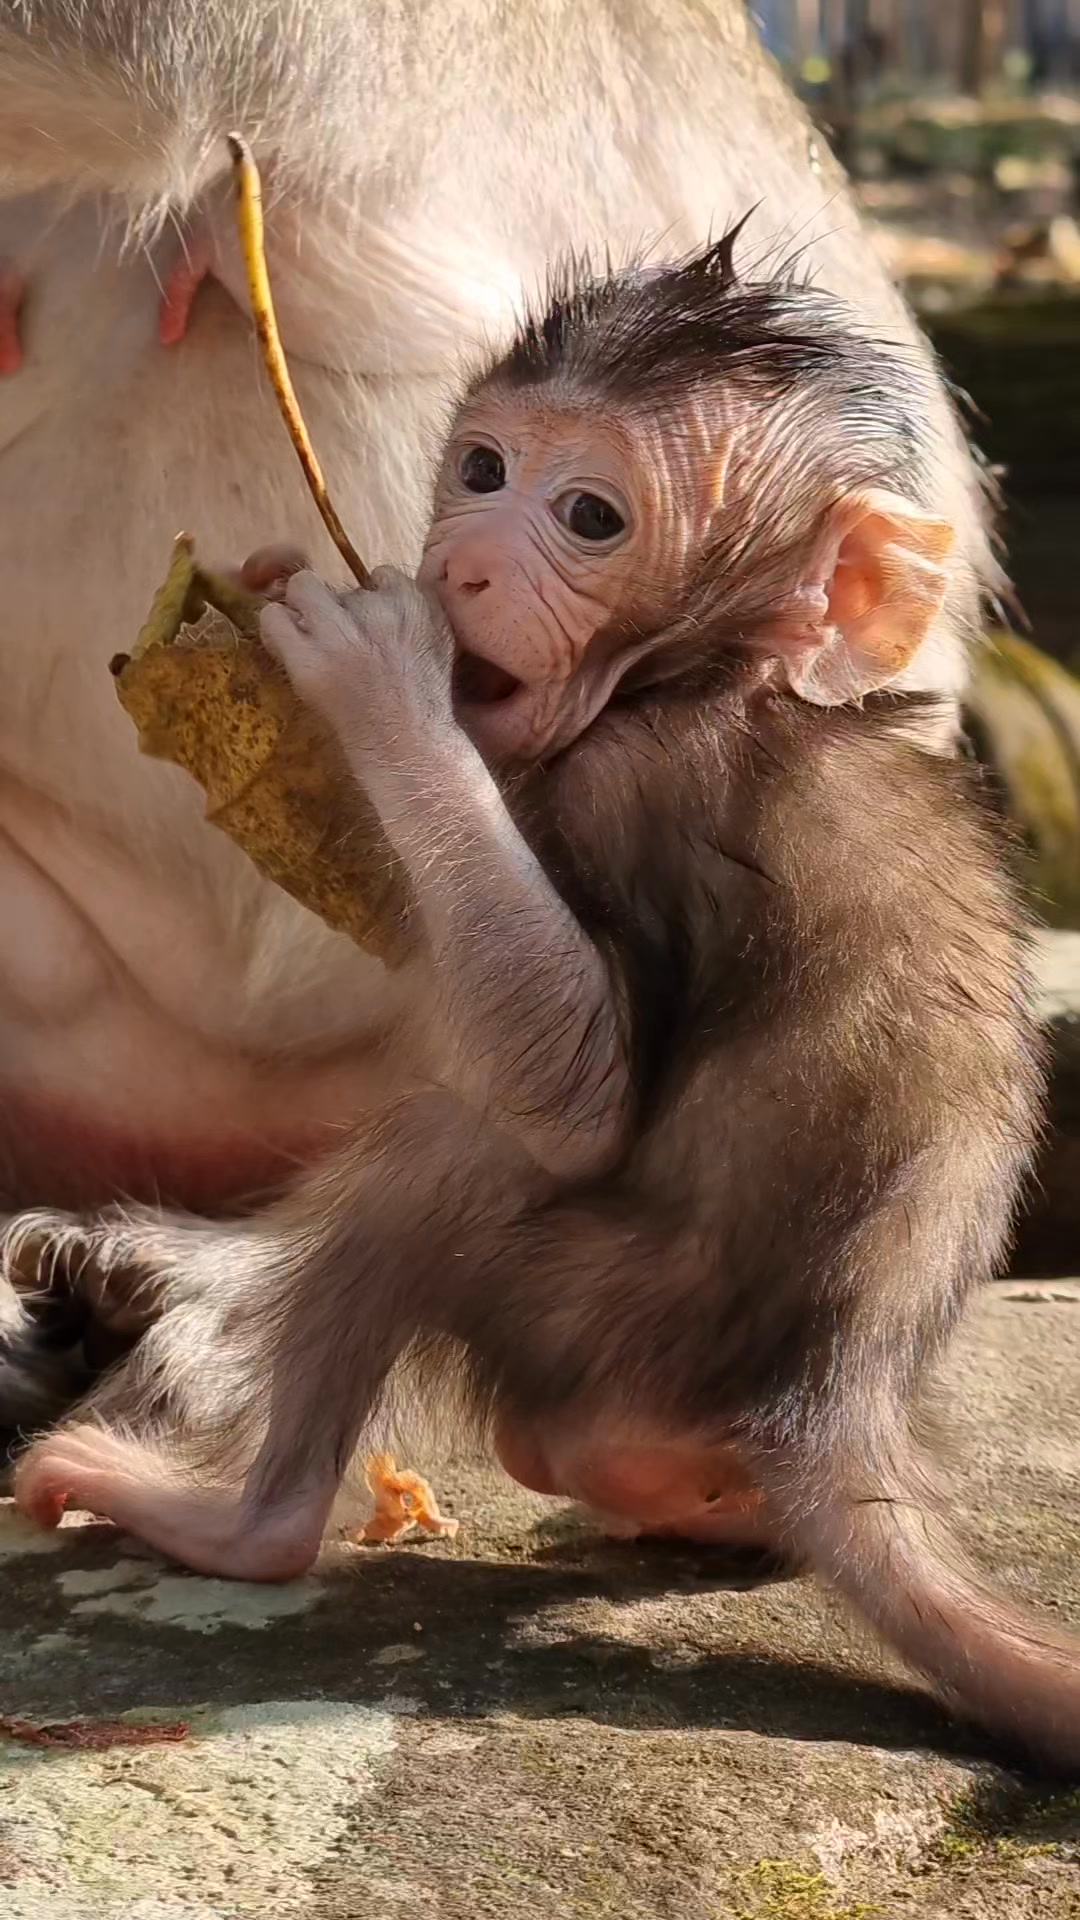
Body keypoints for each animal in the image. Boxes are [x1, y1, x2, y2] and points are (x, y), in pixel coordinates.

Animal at [11, 245, 1079, 1776]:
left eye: (589, 517)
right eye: (480, 468)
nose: (460, 564)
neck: (706, 674)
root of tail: (838, 1397)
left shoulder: (639, 784)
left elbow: (575, 1098)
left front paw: (382, 685)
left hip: (598, 1311)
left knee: (447, 1155)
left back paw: (243, 1524)